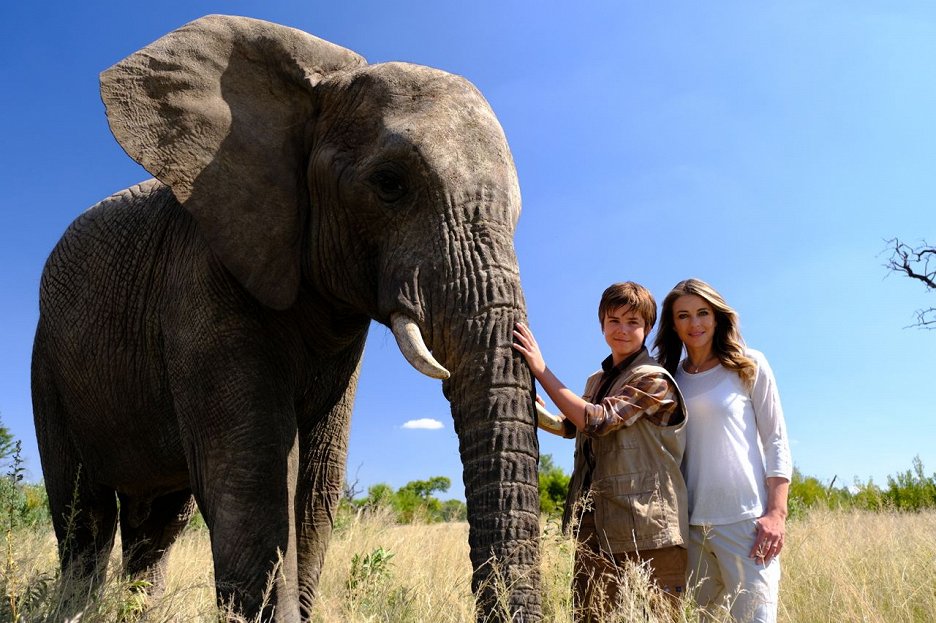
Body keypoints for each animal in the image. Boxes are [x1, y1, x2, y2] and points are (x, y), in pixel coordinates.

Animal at [31, 14, 542, 622]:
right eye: (389, 184)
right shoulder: (203, 277)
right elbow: (252, 477)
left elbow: (317, 483)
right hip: (48, 365)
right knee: (83, 516)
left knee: (157, 522)